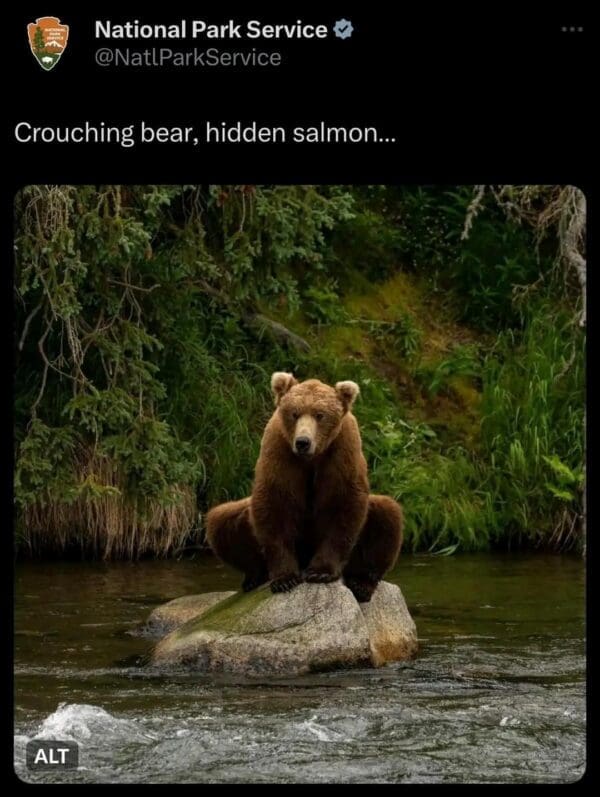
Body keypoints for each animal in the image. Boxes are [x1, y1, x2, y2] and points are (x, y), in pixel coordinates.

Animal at [205, 372, 403, 602]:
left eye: (320, 415)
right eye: (294, 413)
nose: (302, 442)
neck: (311, 458)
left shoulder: (342, 452)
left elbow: (344, 506)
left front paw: (320, 572)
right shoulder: (279, 450)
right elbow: (274, 504)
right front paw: (285, 578)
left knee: (387, 515)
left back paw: (361, 583)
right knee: (221, 519)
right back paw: (255, 576)